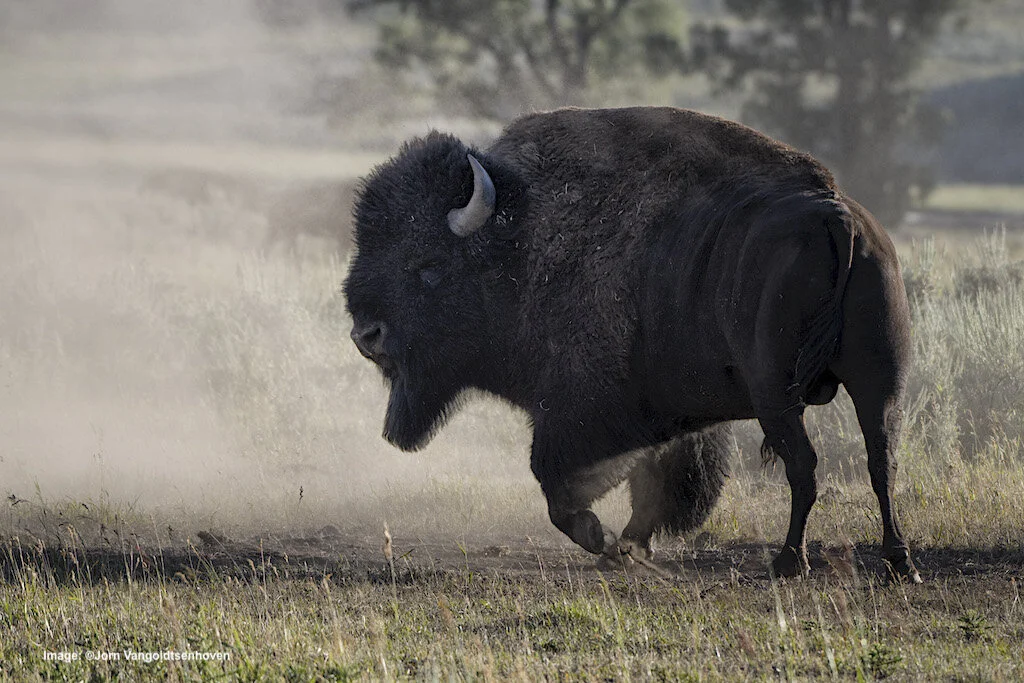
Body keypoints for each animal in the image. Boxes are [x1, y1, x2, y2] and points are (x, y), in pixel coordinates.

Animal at [343, 106, 921, 582]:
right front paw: (631, 546)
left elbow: (558, 479)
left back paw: (789, 562)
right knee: (881, 460)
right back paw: (899, 562)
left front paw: (600, 539)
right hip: (879, 384)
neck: (520, 241)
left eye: (428, 267)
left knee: (804, 465)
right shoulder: (673, 418)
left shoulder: (578, 408)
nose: (366, 333)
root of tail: (837, 218)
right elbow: (656, 481)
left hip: (777, 395)